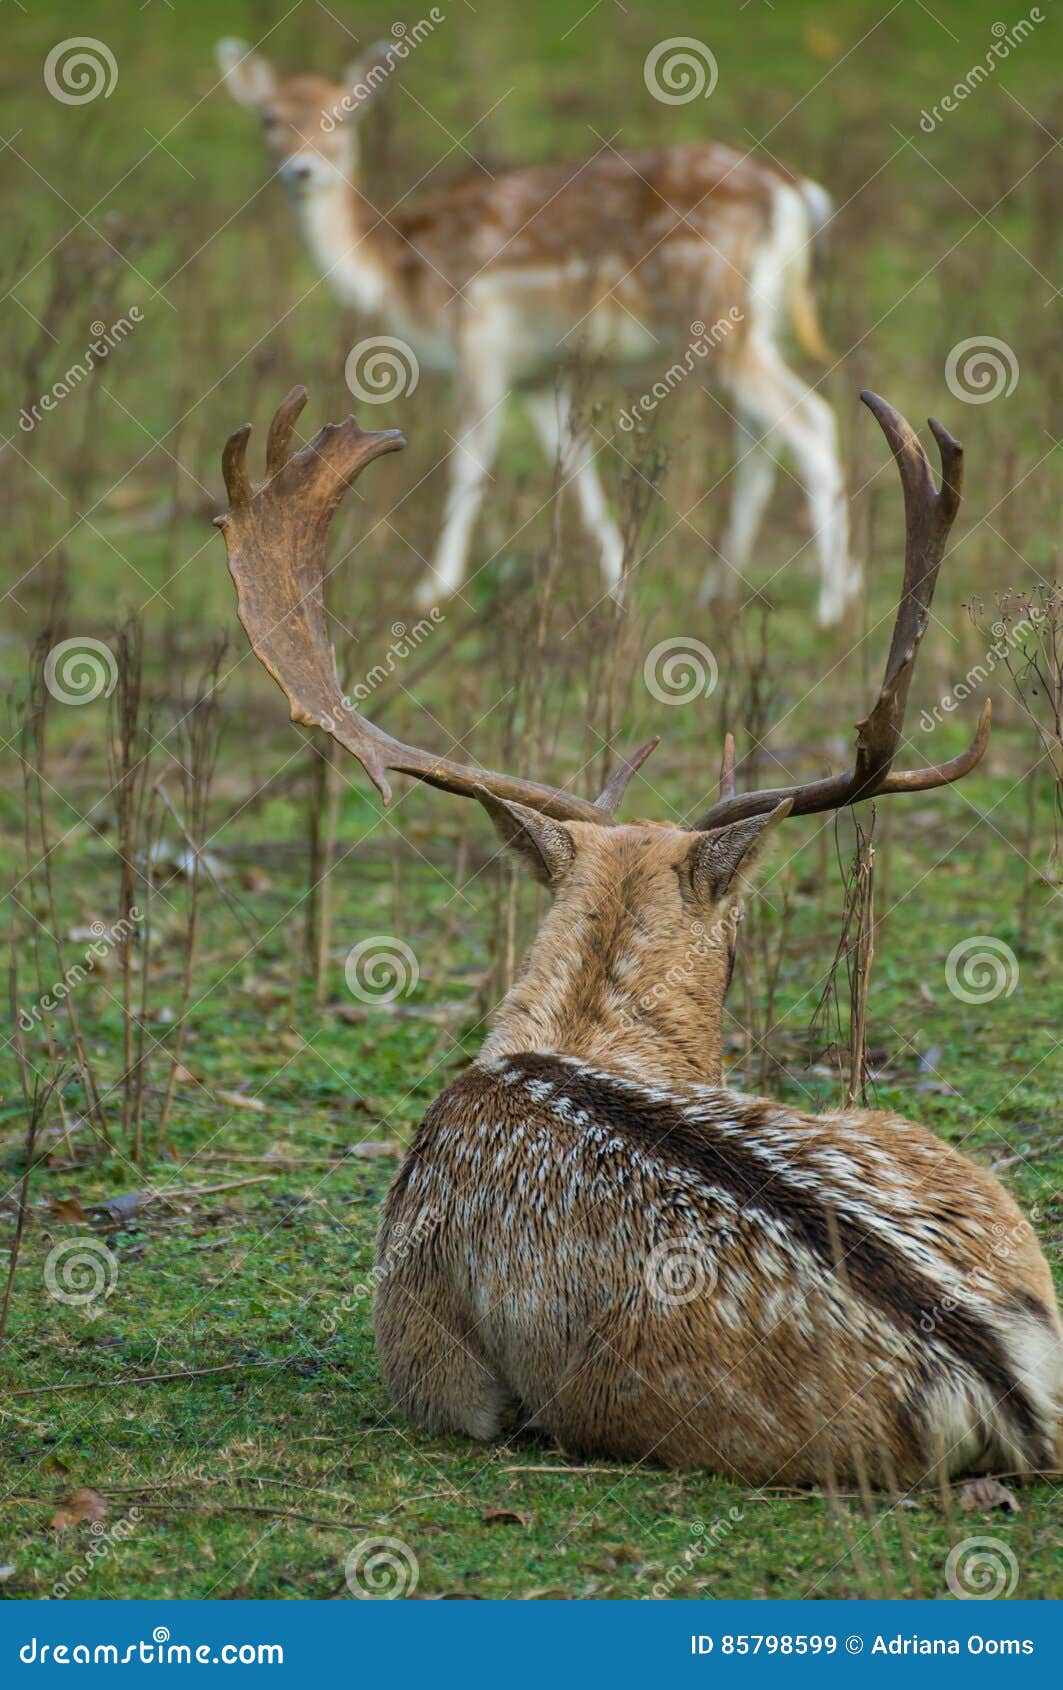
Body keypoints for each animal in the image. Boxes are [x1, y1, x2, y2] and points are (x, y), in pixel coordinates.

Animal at [215, 38, 859, 627]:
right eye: (269, 117)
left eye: (345, 117)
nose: (302, 169)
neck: (402, 274)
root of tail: (794, 192)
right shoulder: (535, 372)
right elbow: (575, 469)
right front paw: (620, 586)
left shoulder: (479, 341)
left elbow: (469, 464)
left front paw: (431, 590)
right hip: (753, 323)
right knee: (761, 437)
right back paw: (719, 589)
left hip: (718, 312)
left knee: (811, 420)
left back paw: (831, 604)